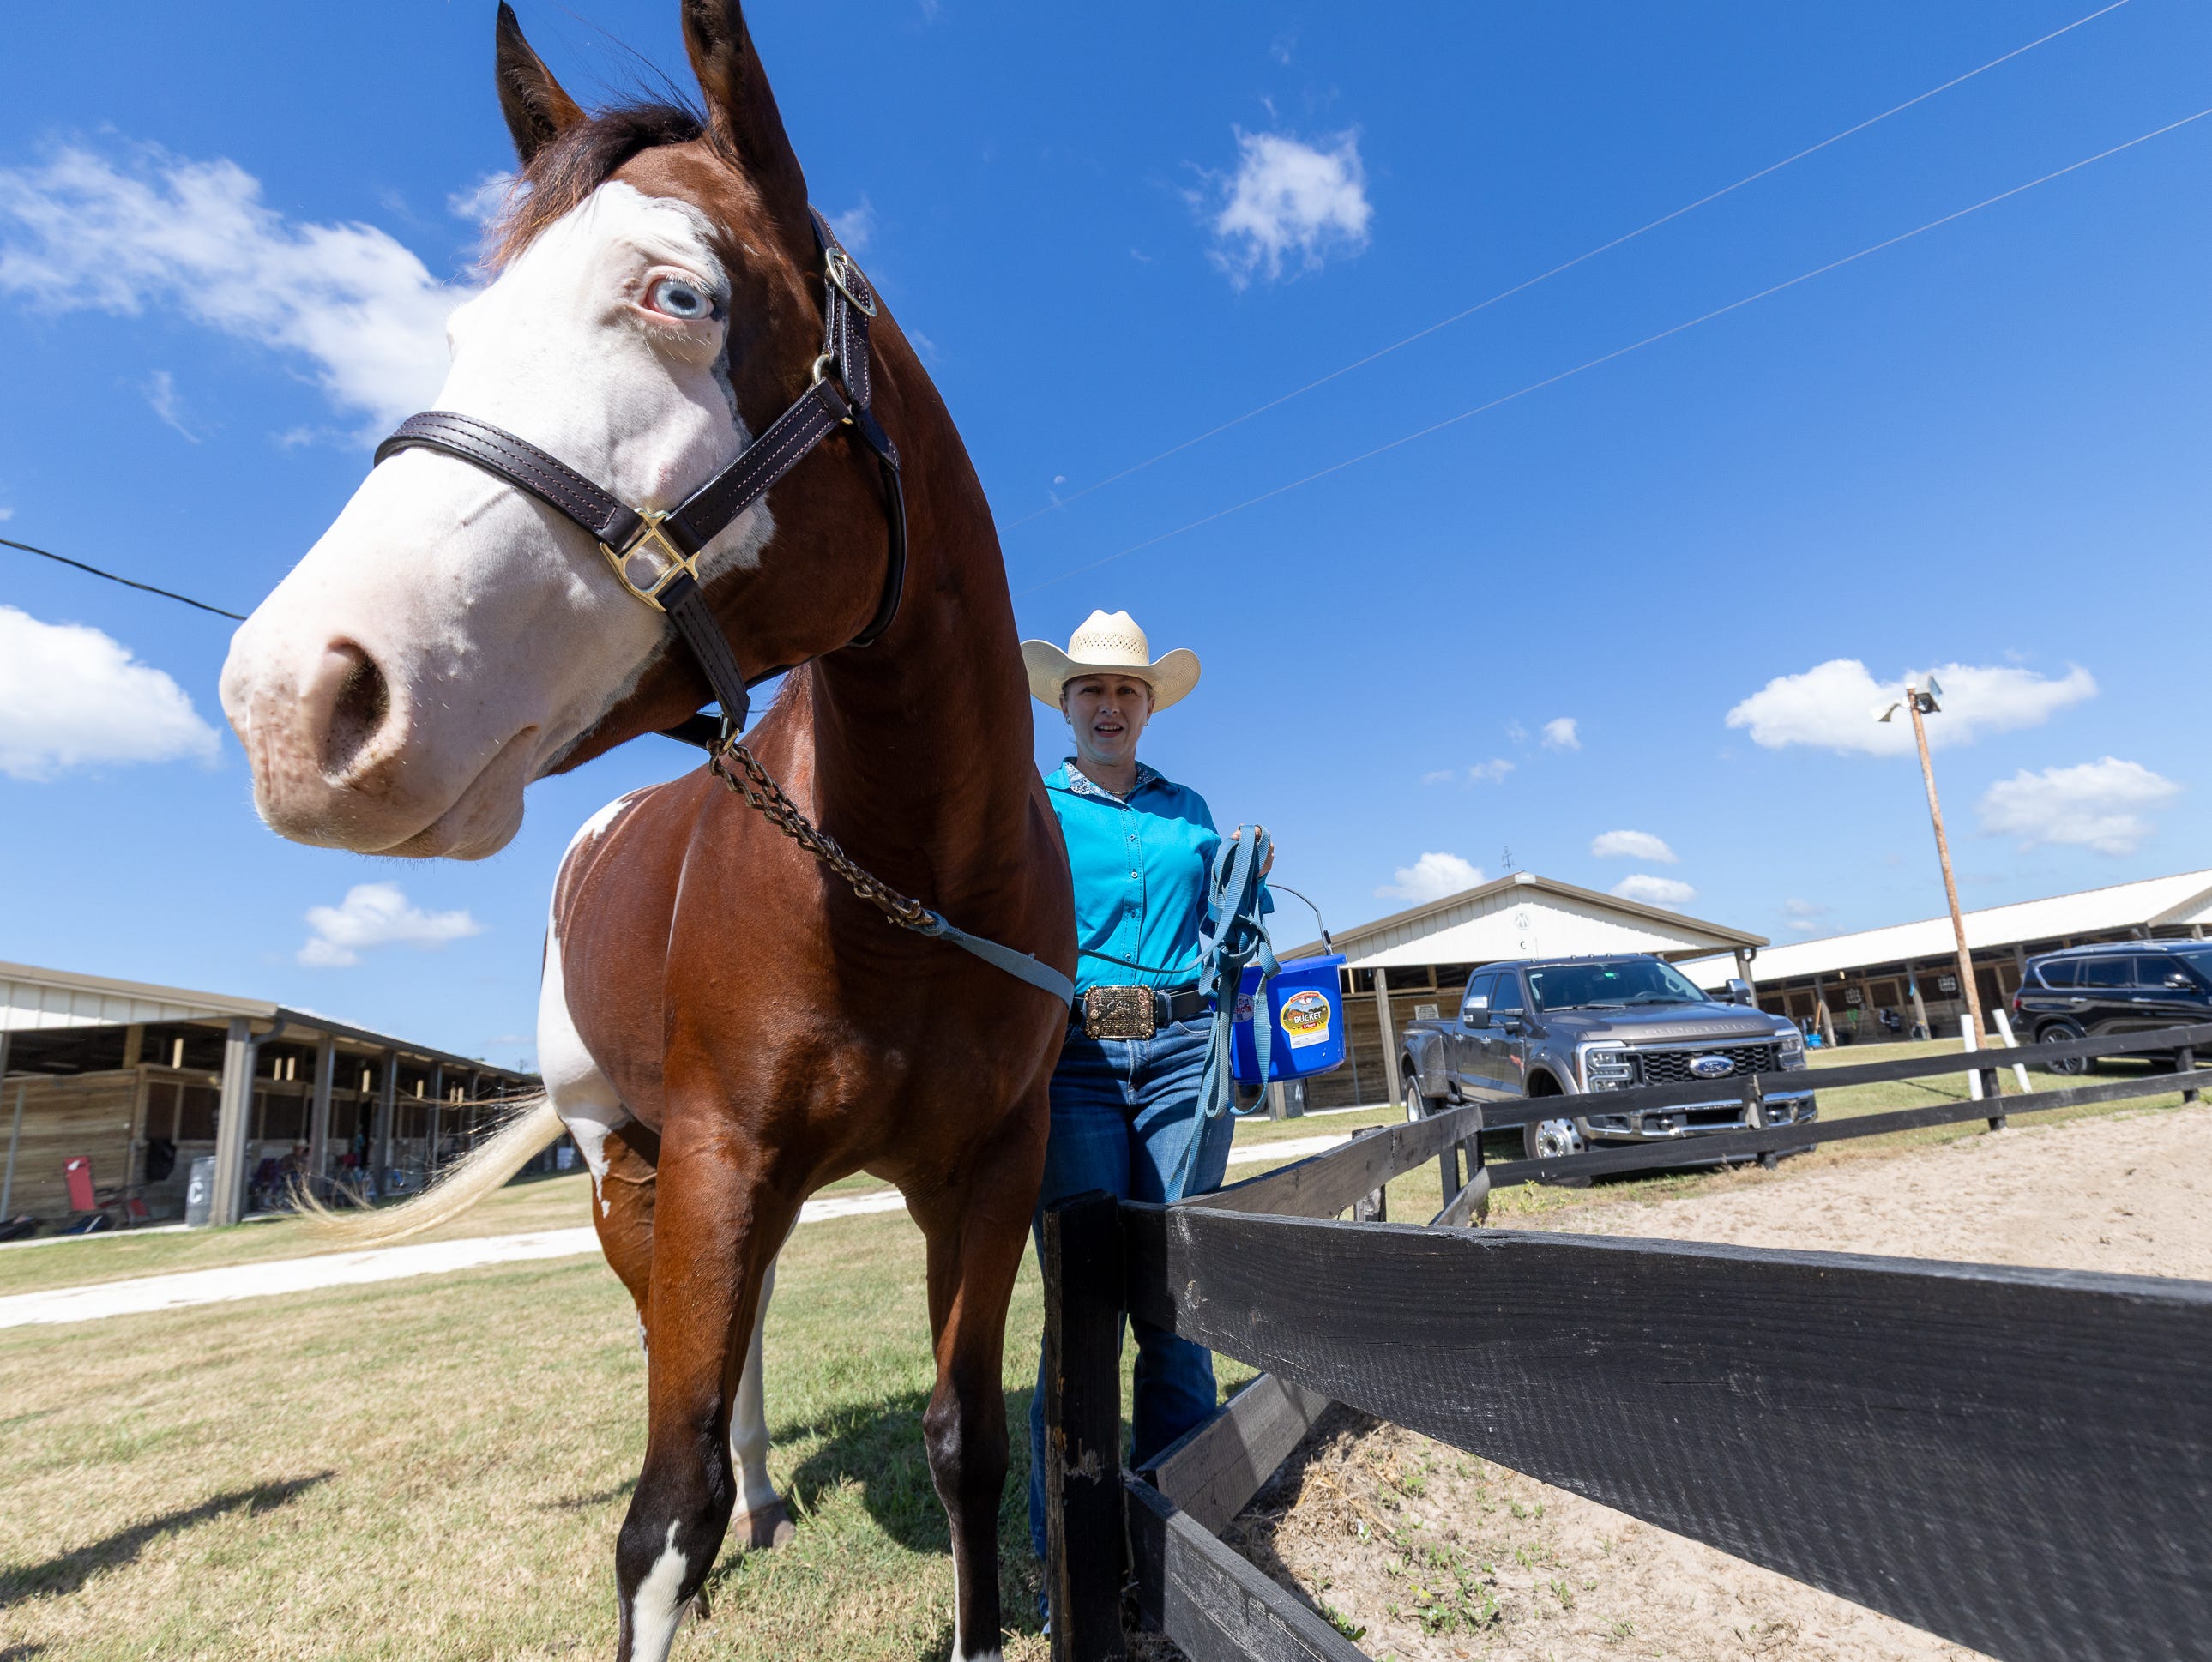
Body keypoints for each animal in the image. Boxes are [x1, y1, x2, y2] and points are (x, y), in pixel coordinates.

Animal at [217, 4, 1075, 1657]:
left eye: (676, 293)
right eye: (461, 332)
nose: (292, 698)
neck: (905, 884)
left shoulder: (990, 1169)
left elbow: (967, 1445)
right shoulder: (714, 1164)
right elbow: (657, 1517)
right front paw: (702, 1522)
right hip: (631, 1165)